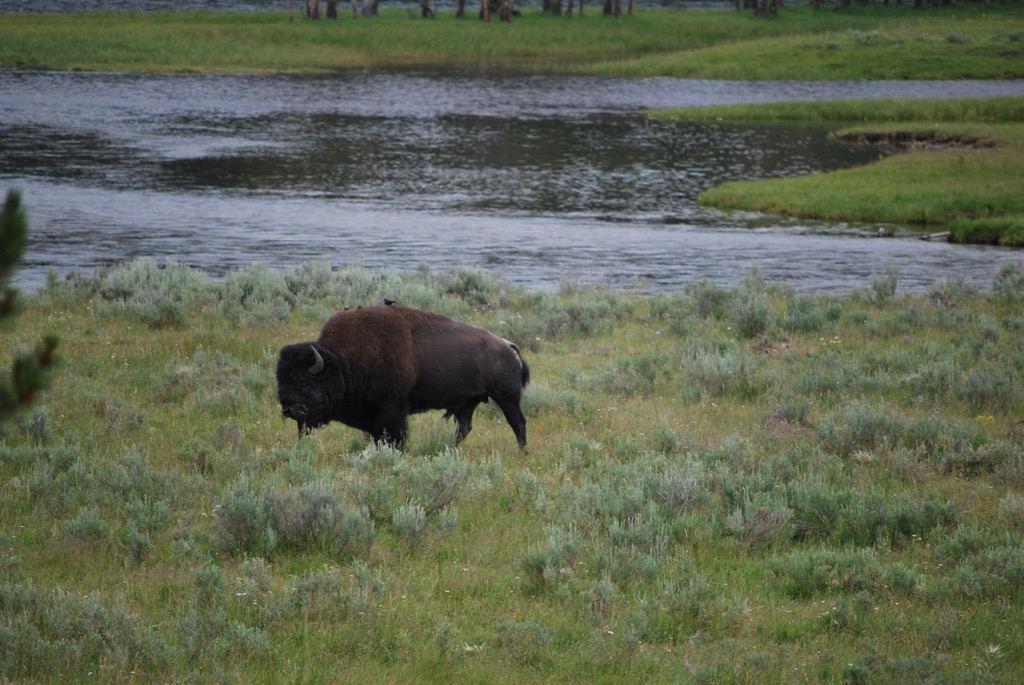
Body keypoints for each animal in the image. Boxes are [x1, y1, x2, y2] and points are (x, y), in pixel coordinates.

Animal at [276, 305, 530, 451]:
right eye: (281, 381)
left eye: (303, 382)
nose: (288, 410)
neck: (342, 364)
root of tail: (507, 344)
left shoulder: (391, 409)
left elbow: (395, 435)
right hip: (469, 402)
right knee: (464, 427)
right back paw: (450, 450)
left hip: (507, 398)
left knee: (517, 422)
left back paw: (521, 452)